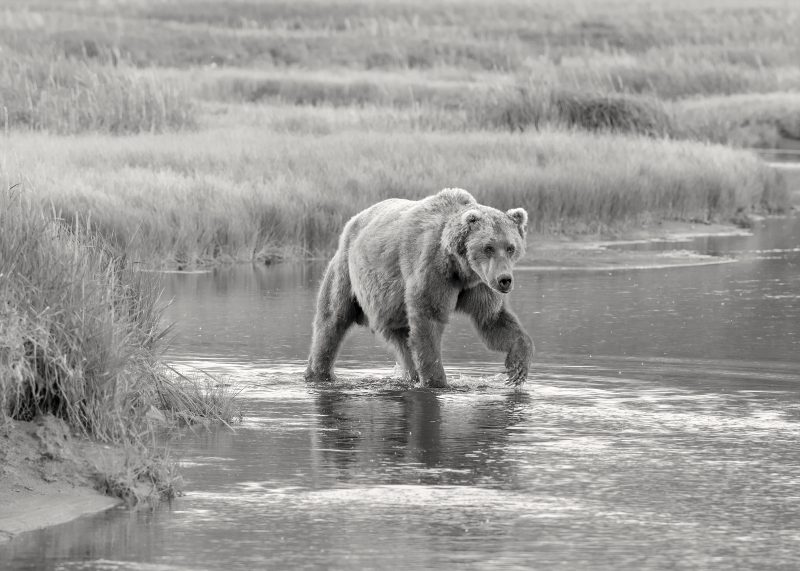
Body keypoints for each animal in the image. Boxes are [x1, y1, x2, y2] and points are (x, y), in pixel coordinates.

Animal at [304, 187, 534, 388]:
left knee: (404, 341)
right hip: (347, 272)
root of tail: (353, 221)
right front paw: (437, 382)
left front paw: (517, 368)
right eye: (488, 247)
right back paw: (318, 373)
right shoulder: (433, 270)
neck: (459, 268)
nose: (504, 280)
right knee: (332, 319)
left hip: (392, 308)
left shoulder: (479, 284)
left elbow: (492, 319)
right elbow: (428, 319)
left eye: (510, 247)